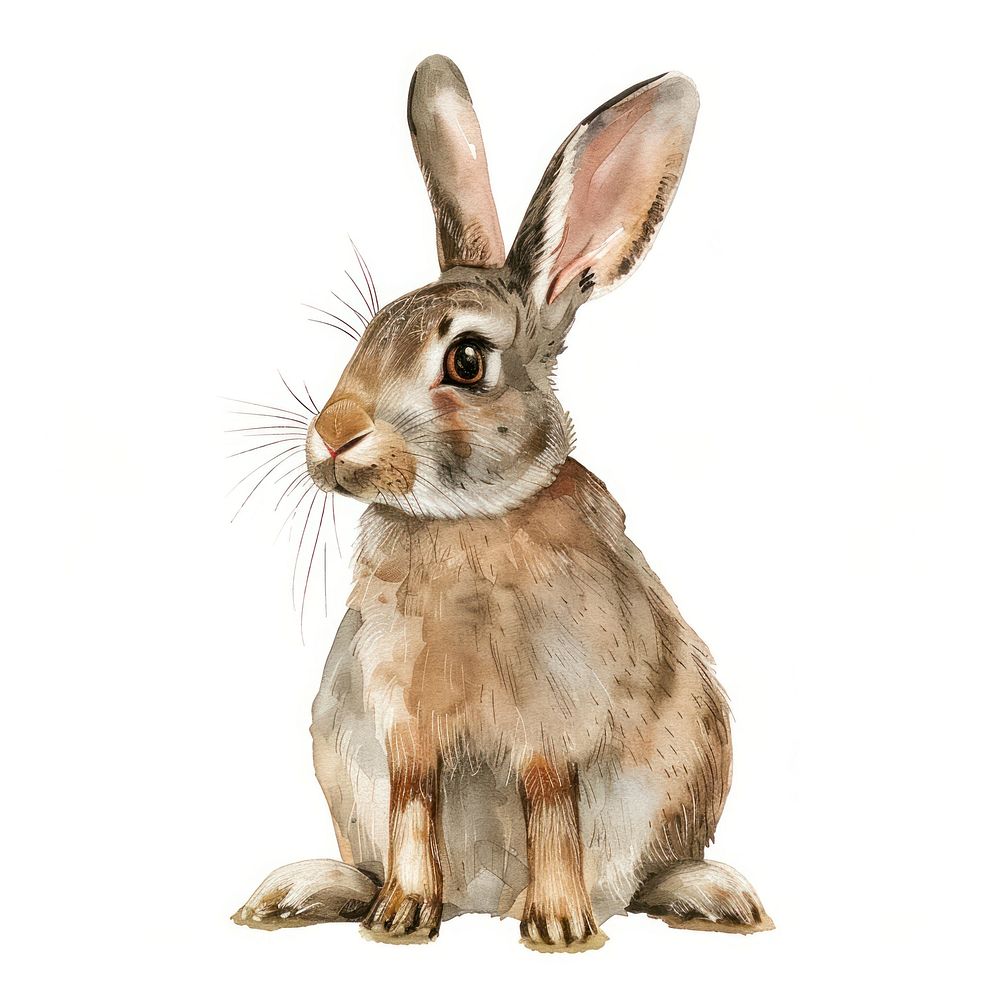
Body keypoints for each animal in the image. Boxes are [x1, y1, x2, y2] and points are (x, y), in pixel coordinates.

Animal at [232, 54, 771, 951]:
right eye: (370, 332)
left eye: (468, 362)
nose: (333, 437)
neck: (464, 520)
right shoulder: (401, 722)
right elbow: (413, 805)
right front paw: (400, 919)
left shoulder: (555, 720)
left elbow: (549, 806)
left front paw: (557, 927)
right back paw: (304, 892)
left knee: (651, 874)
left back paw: (714, 896)